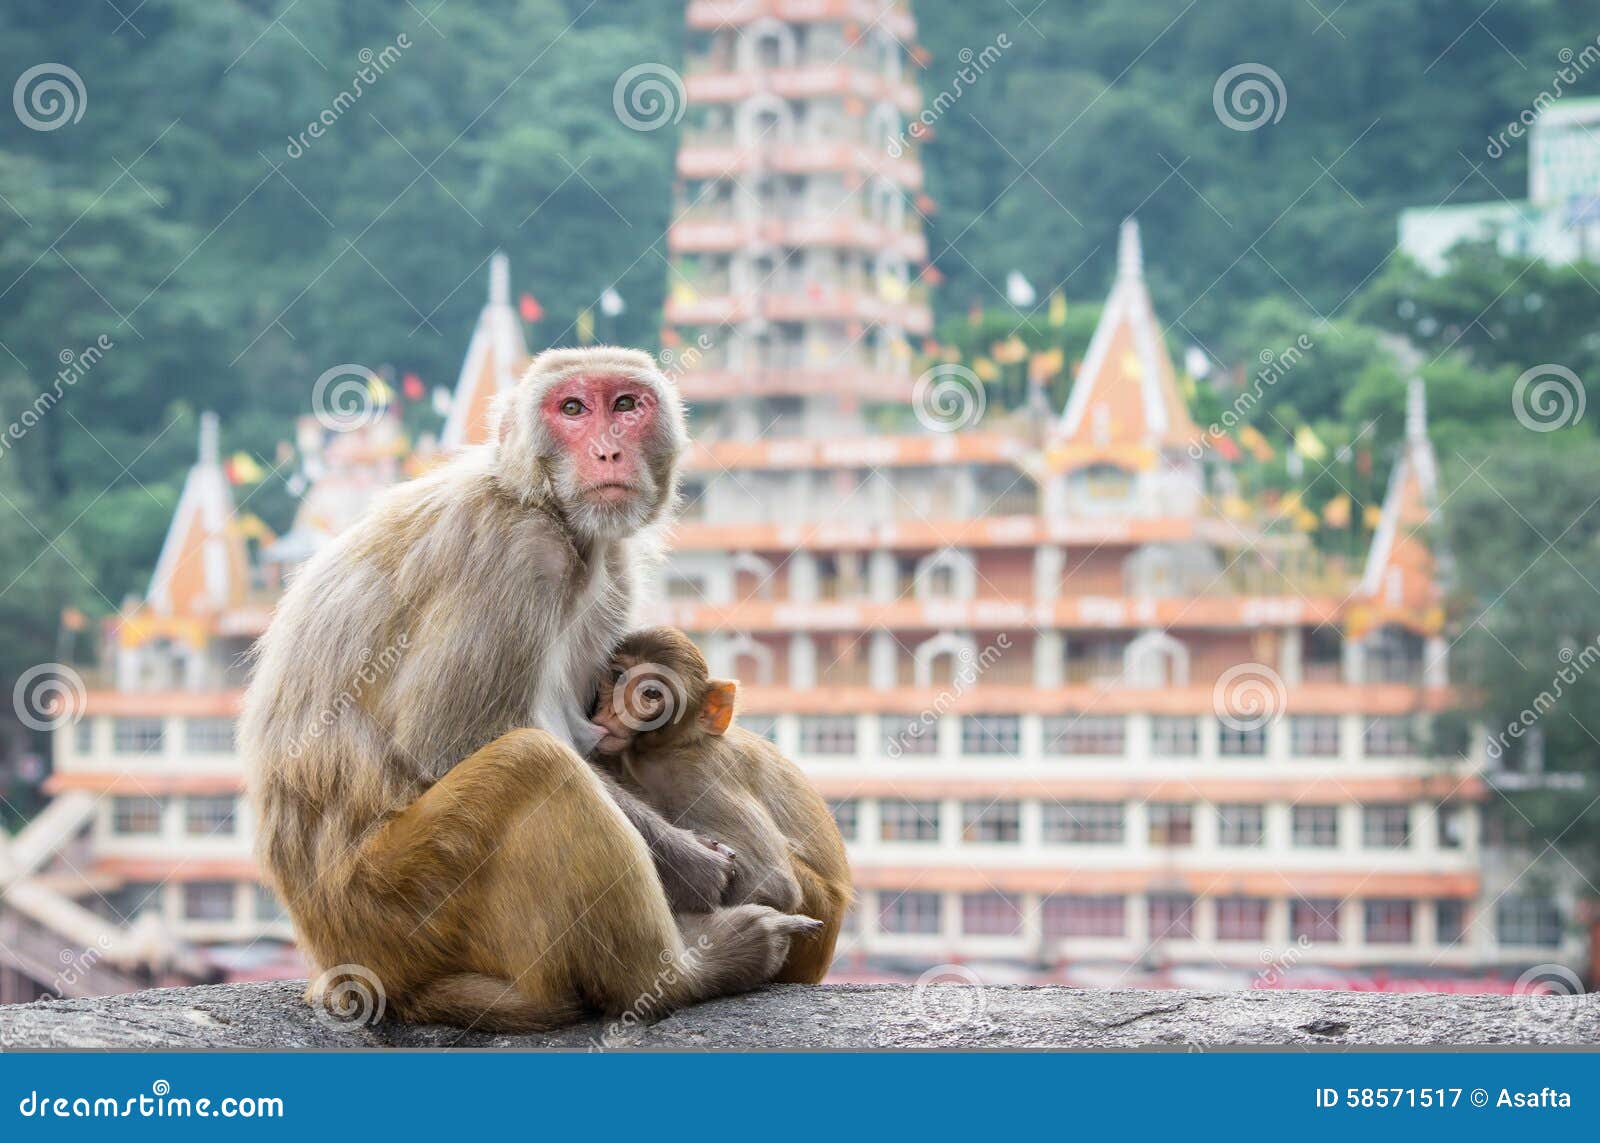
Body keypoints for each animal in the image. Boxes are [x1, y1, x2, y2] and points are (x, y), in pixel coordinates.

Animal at [241, 347, 819, 1032]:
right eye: (571, 408)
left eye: (625, 404)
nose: (607, 451)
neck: (545, 508)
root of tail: (338, 966)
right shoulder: (515, 549)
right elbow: (451, 738)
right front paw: (698, 867)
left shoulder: (611, 565)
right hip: (394, 899)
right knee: (533, 763)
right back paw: (678, 975)